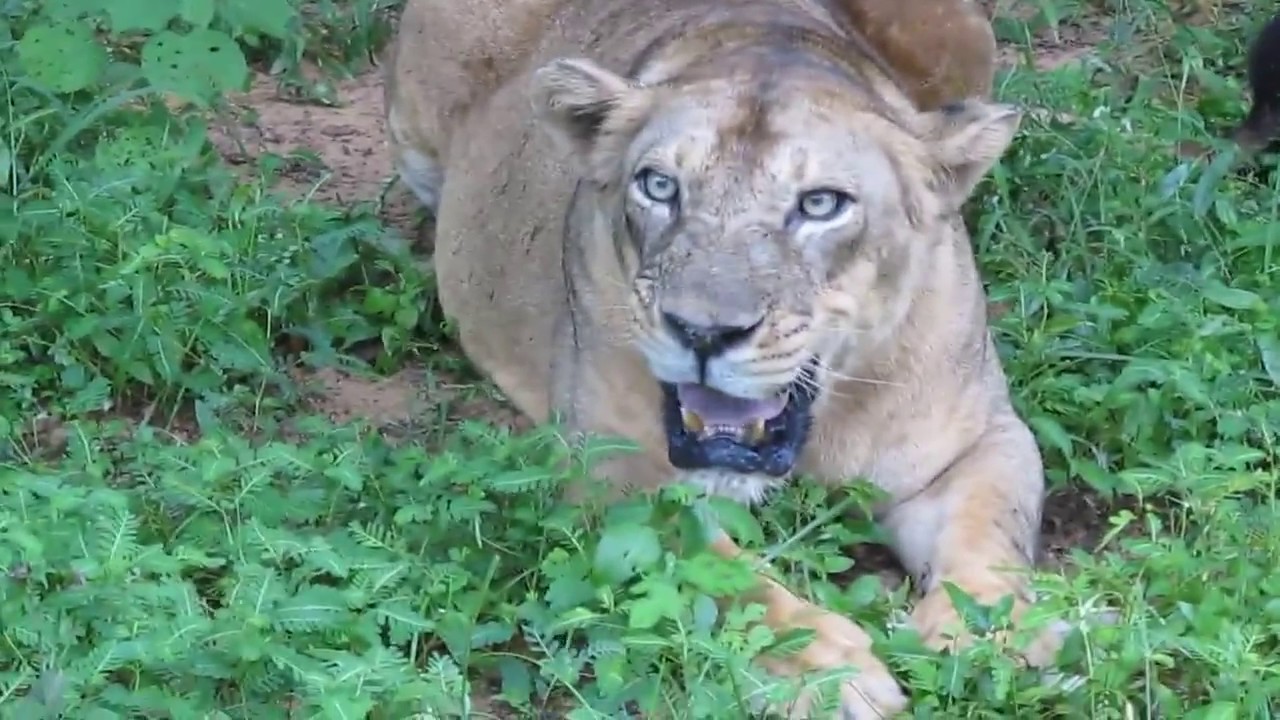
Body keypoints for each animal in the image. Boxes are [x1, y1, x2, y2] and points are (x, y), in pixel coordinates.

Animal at [383, 0, 1059, 715]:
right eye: (659, 186)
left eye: (821, 203)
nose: (703, 333)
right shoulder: (611, 471)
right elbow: (718, 566)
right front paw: (824, 672)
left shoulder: (980, 437)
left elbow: (989, 531)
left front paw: (990, 634)